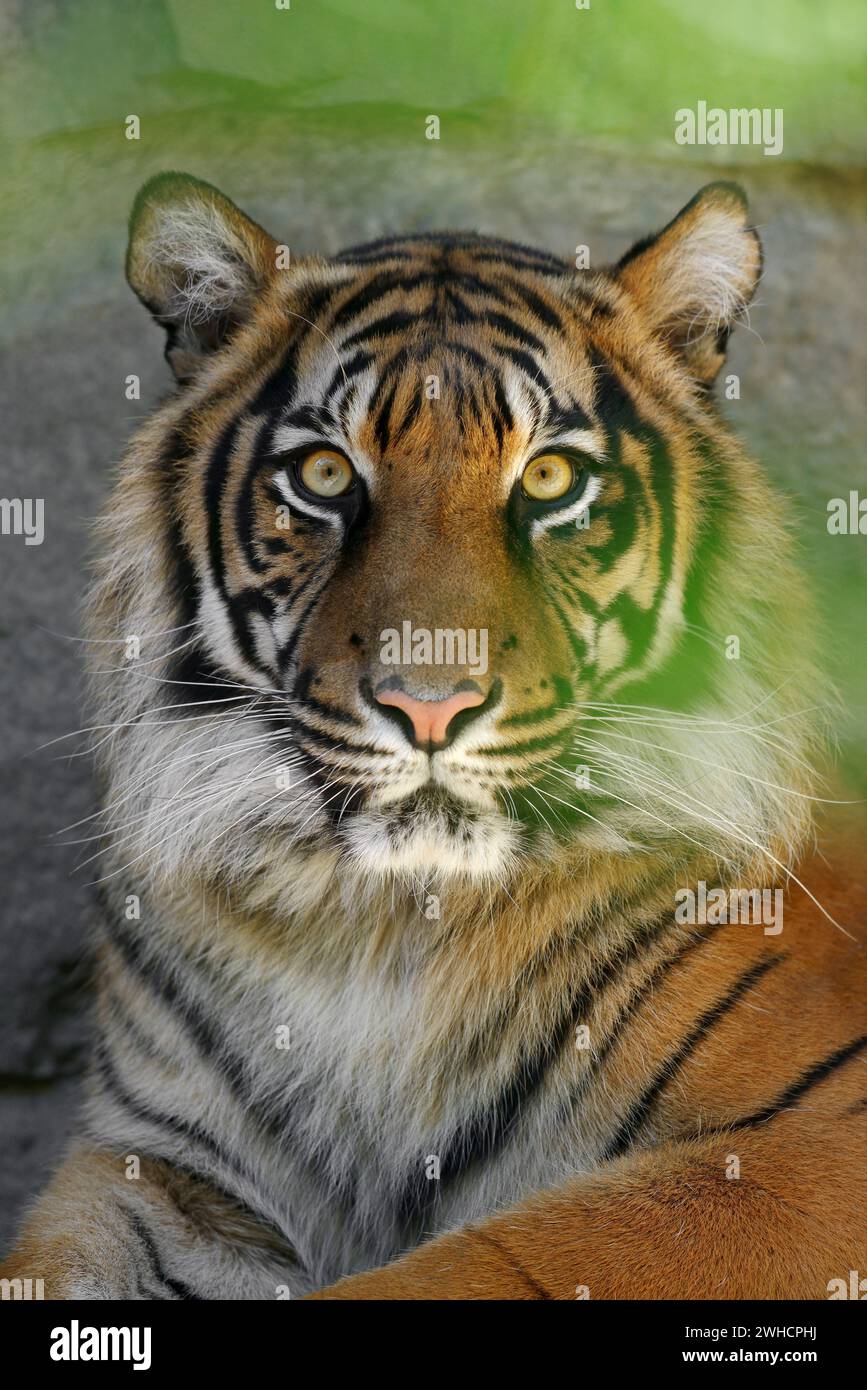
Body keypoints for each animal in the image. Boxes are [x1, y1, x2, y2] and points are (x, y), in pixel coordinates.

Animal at [2, 172, 865, 1301]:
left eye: (549, 482)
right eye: (325, 476)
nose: (428, 705)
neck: (383, 929)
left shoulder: (805, 1150)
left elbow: (459, 1269)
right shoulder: (166, 1167)